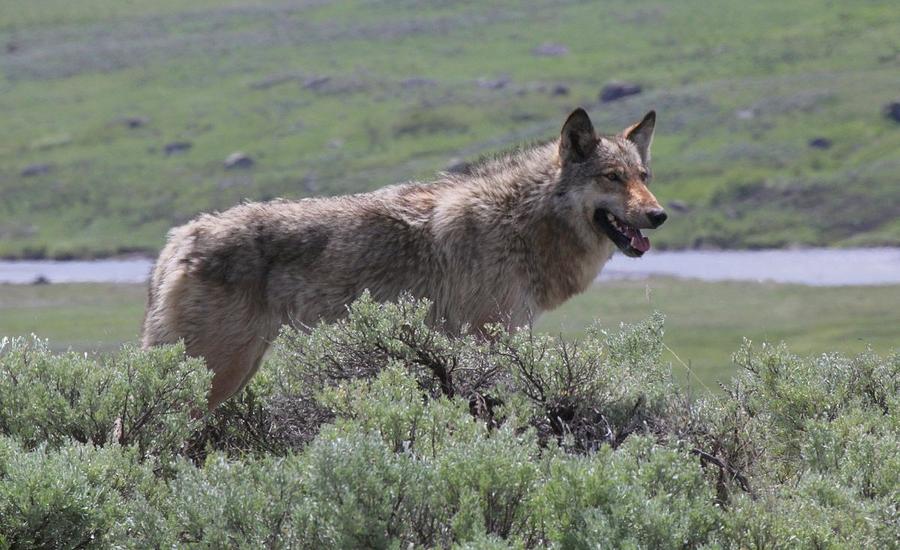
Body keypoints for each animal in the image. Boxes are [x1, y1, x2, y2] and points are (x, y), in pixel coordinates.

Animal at [142, 108, 667, 408]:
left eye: (643, 175)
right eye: (612, 177)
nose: (659, 215)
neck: (522, 220)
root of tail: (178, 239)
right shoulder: (486, 339)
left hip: (237, 371)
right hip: (218, 373)